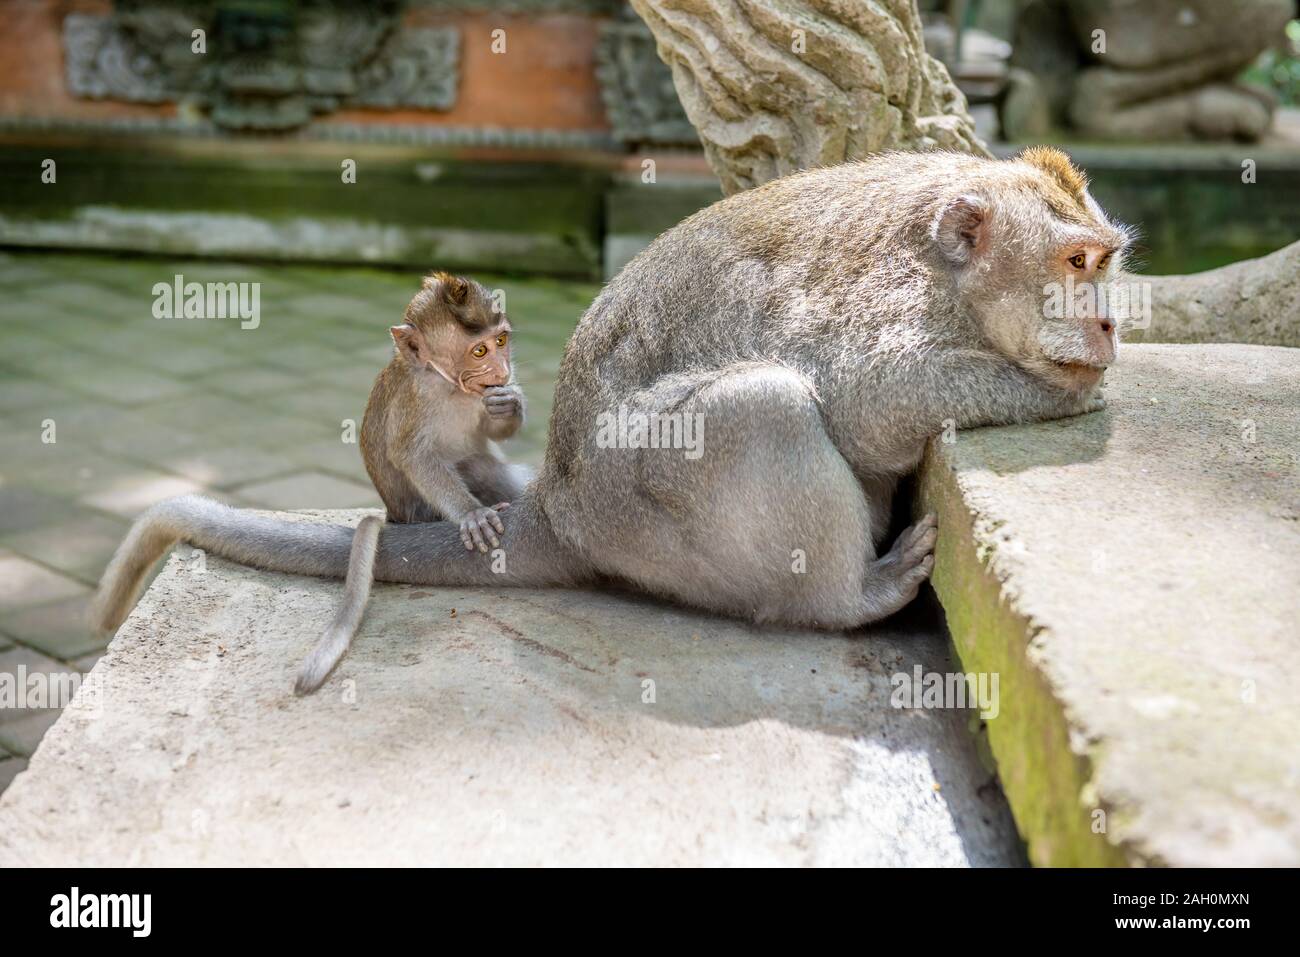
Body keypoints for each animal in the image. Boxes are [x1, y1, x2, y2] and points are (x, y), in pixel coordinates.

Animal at [92, 147, 1126, 644]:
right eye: (1074, 264)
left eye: (1105, 261)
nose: (1111, 323)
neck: (948, 273)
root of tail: (559, 503)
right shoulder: (891, 300)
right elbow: (871, 396)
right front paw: (1051, 391)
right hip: (642, 515)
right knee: (766, 403)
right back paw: (839, 599)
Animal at [293, 272, 529, 693]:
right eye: (479, 351)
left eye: (501, 341)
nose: (503, 373)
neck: (447, 385)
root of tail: (394, 513)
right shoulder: (414, 402)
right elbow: (412, 456)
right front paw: (472, 514)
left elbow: (494, 428)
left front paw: (509, 402)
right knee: (472, 465)